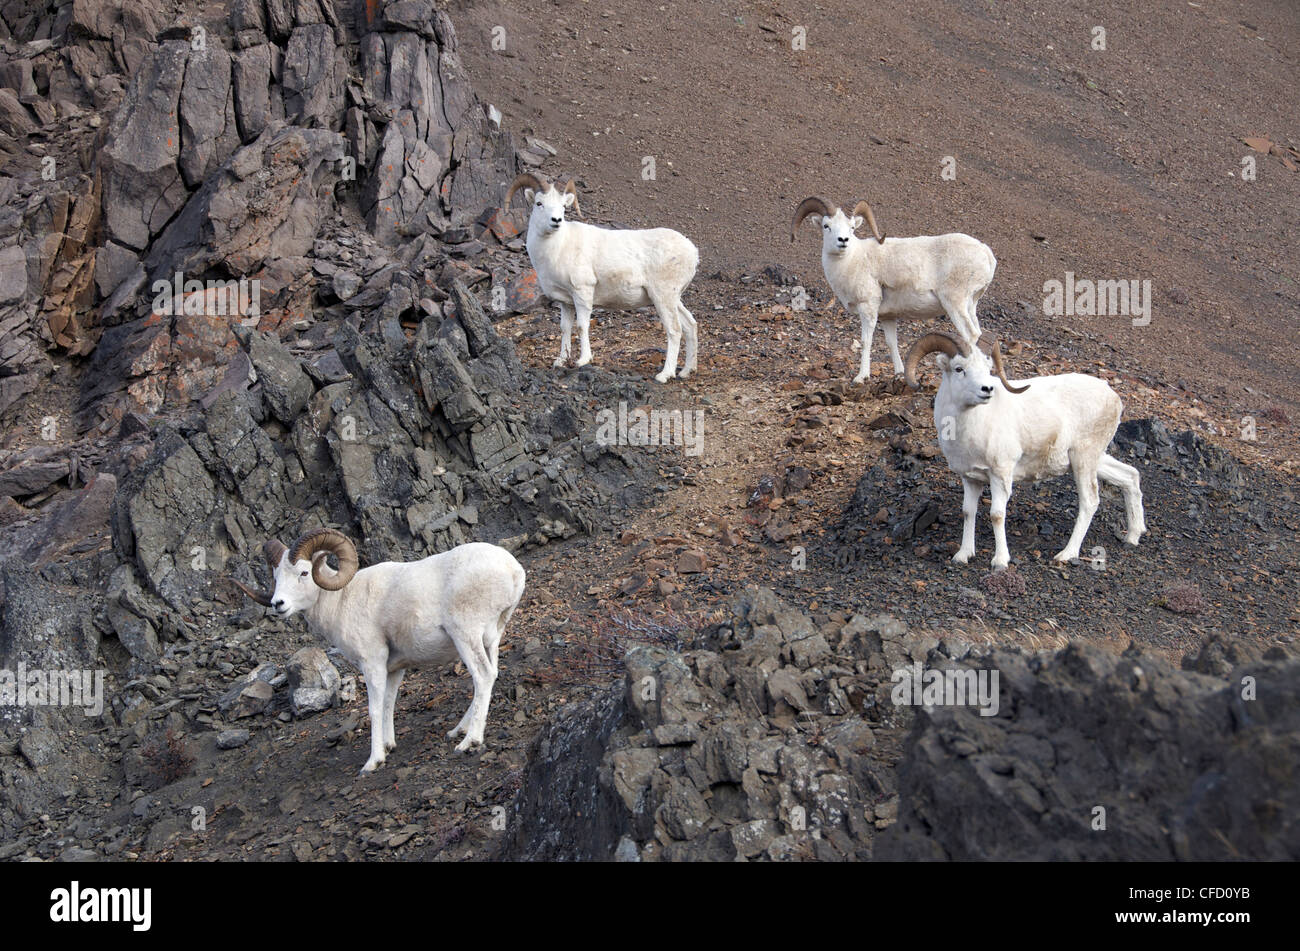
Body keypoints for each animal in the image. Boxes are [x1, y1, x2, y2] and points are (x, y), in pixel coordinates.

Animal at [232, 530, 526, 774]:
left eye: (304, 573)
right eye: (276, 577)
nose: (278, 604)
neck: (341, 600)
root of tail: (514, 571)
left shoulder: (372, 663)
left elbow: (373, 709)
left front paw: (373, 762)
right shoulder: (394, 669)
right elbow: (388, 704)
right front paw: (388, 746)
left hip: (465, 635)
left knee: (483, 676)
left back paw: (469, 742)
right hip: (490, 638)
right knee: (490, 675)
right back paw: (457, 731)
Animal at [504, 172, 700, 383]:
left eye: (563, 206)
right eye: (539, 203)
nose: (556, 220)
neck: (557, 248)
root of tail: (693, 252)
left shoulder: (582, 293)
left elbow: (582, 326)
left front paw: (583, 360)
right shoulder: (566, 301)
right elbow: (565, 328)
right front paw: (561, 361)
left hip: (663, 297)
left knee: (674, 330)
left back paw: (664, 375)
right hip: (674, 299)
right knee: (690, 326)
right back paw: (686, 371)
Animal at [791, 197, 997, 384]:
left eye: (852, 227)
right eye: (826, 226)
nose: (843, 240)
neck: (852, 260)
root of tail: (985, 252)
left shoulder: (868, 308)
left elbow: (866, 342)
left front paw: (861, 377)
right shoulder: (888, 317)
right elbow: (892, 343)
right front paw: (899, 374)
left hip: (955, 303)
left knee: (971, 335)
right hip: (971, 304)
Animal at [903, 332, 1146, 569]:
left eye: (988, 369)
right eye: (959, 369)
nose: (987, 389)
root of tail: (1113, 397)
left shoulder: (1000, 474)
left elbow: (997, 515)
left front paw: (1000, 561)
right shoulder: (970, 479)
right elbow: (968, 512)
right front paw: (963, 556)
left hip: (1083, 459)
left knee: (1090, 501)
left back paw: (1066, 554)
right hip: (1094, 459)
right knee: (1130, 476)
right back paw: (1132, 537)